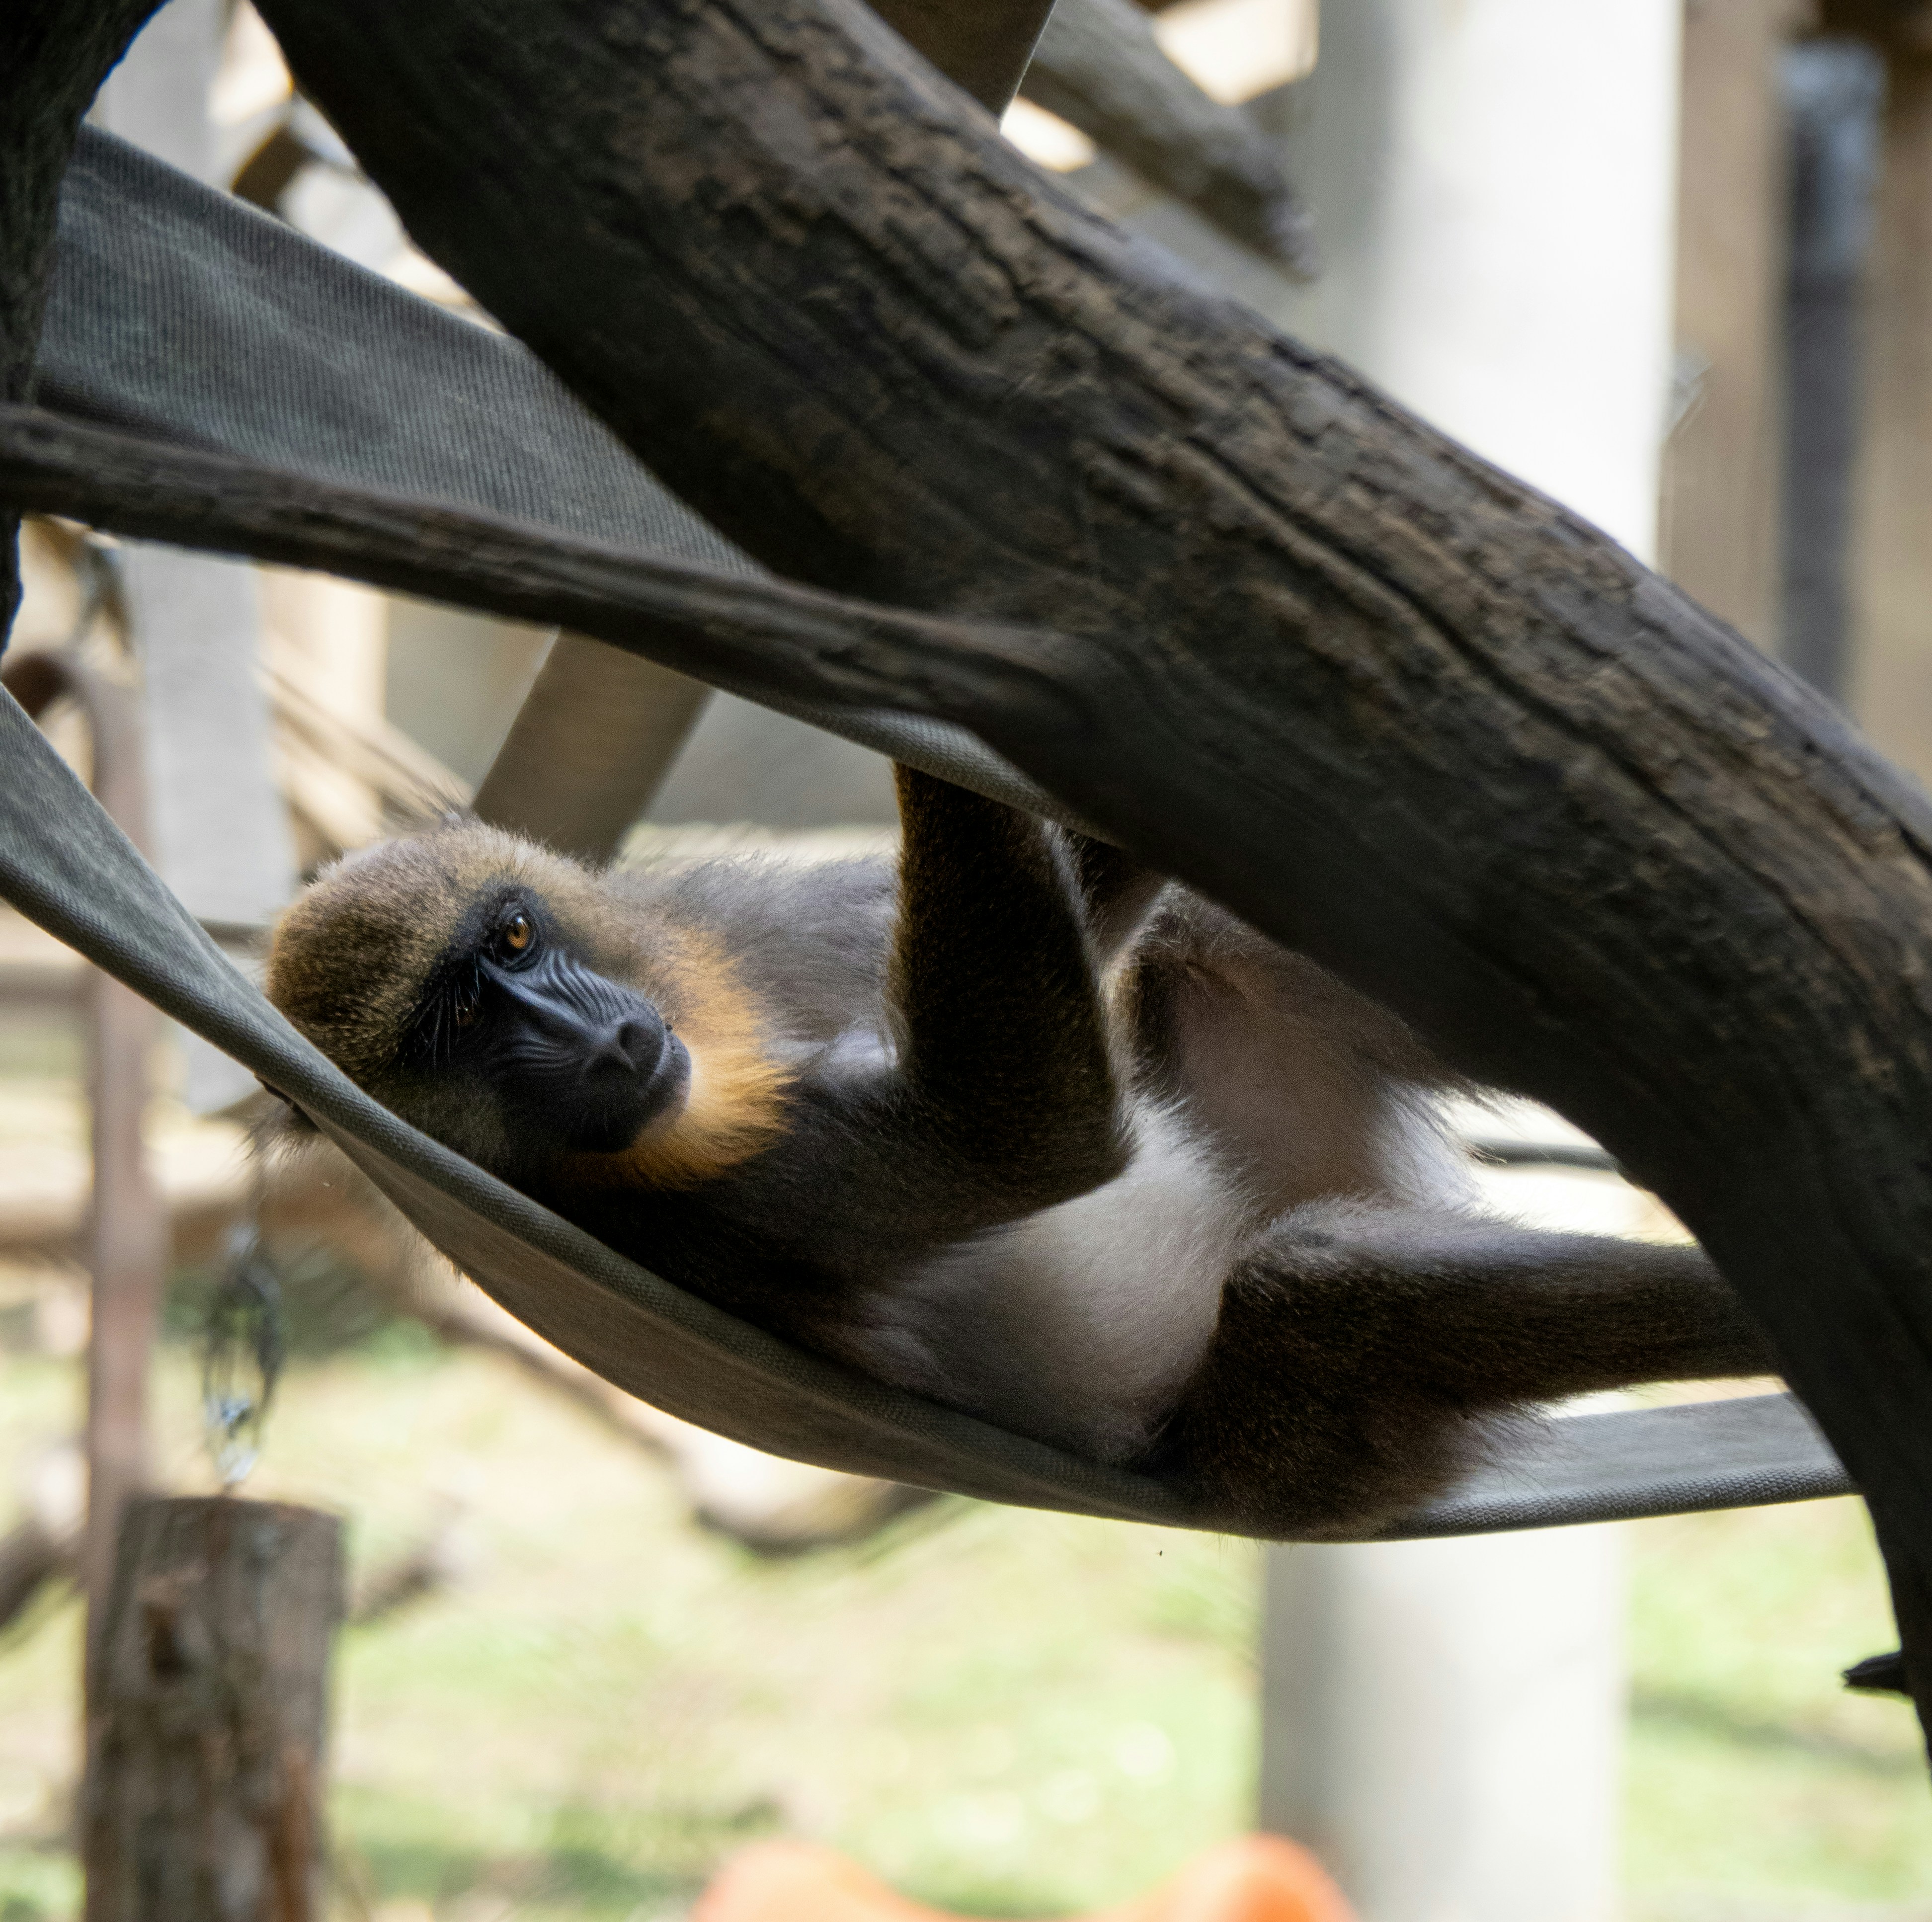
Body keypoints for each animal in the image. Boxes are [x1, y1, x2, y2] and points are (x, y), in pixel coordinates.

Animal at [262, 768, 1777, 1537]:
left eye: (515, 940)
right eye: (462, 1023)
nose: (591, 1033)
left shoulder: (742, 929)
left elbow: (1081, 915)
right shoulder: (703, 1212)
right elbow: (1022, 1135)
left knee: (1207, 941)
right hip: (1295, 1444)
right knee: (1317, 1280)